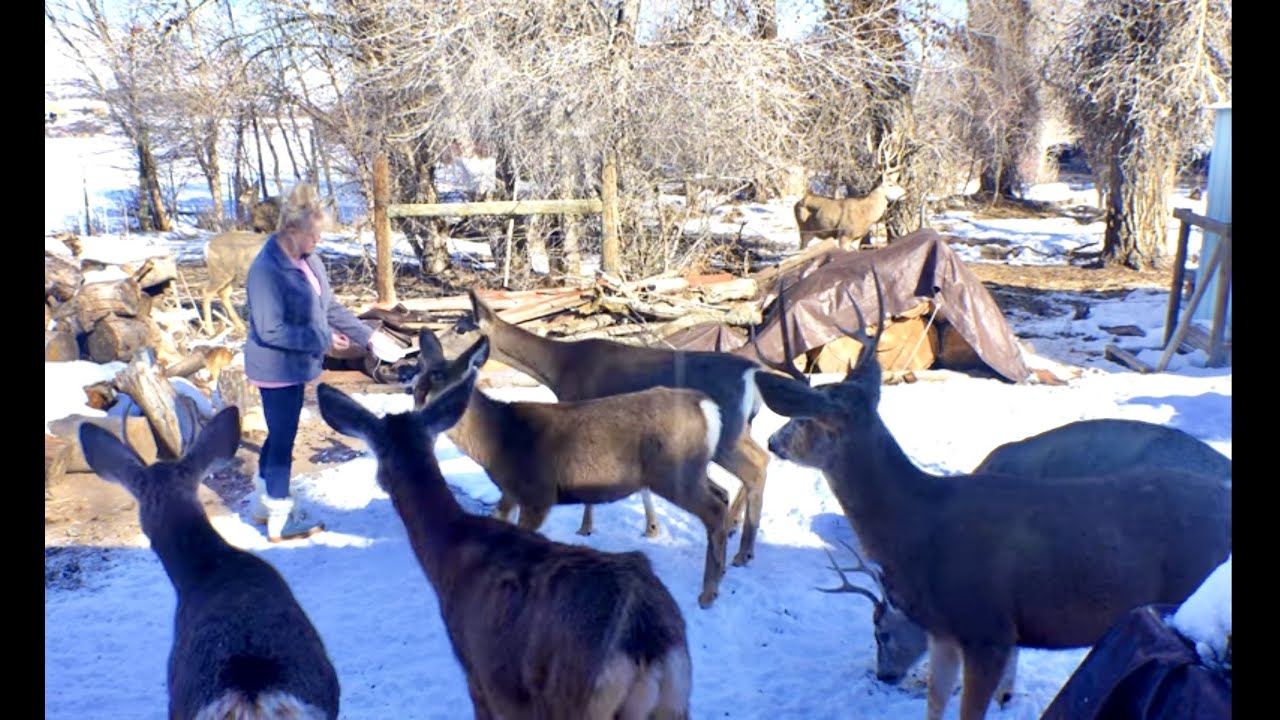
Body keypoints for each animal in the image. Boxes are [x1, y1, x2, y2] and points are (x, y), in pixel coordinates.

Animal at [411, 330, 730, 608]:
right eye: (416, 391)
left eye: (442, 390)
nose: (416, 422)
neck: (499, 440)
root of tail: (707, 407)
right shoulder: (511, 492)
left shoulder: (538, 493)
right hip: (693, 469)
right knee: (722, 495)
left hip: (674, 470)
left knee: (714, 510)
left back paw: (708, 594)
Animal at [439, 287, 772, 569]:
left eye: (459, 328)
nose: (426, 349)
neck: (558, 369)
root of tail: (753, 377)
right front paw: (651, 527)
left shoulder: (580, 409)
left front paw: (587, 527)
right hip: (738, 430)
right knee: (757, 461)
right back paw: (734, 535)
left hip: (728, 432)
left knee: (755, 466)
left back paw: (743, 551)